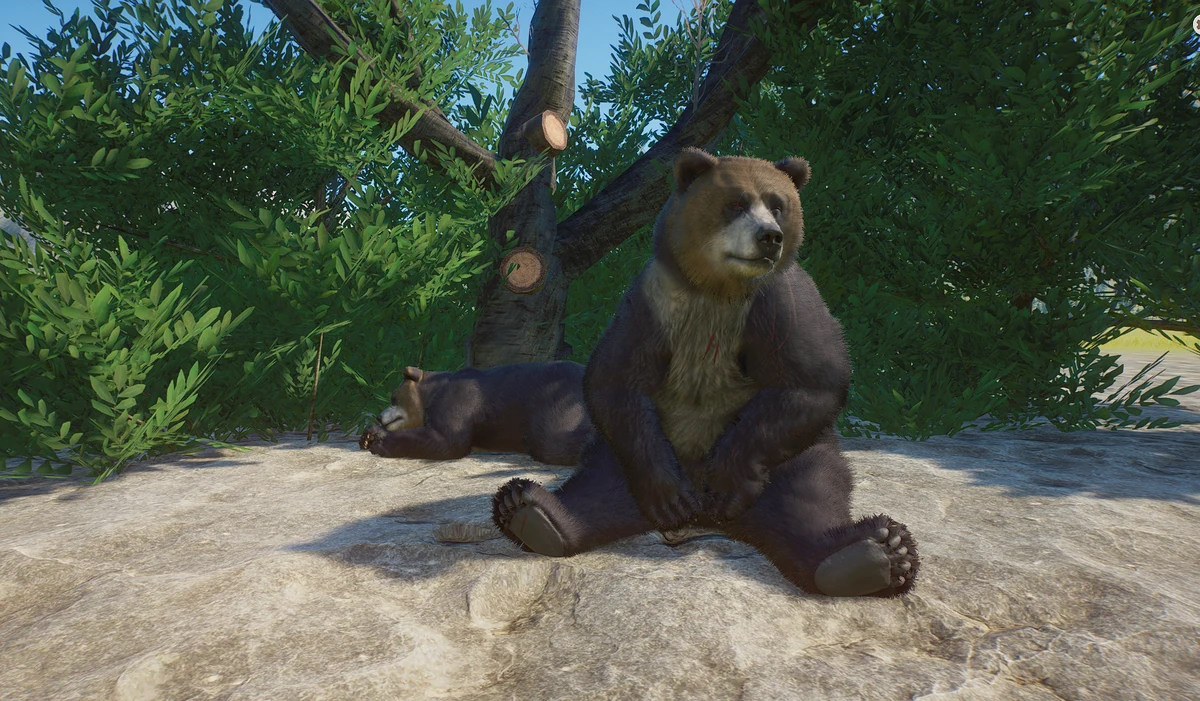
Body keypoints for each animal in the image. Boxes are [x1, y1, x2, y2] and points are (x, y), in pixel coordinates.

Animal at [359, 361, 592, 467]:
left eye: (393, 397)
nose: (379, 416)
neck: (434, 391)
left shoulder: (459, 399)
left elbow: (448, 441)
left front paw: (378, 439)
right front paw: (367, 437)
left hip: (555, 401)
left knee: (554, 441)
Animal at [489, 148, 920, 598]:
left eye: (778, 205)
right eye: (736, 203)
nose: (770, 237)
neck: (719, 288)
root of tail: (708, 520)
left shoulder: (782, 300)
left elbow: (812, 379)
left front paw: (728, 479)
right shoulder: (651, 301)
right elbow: (615, 379)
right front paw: (666, 495)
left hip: (797, 455)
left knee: (809, 496)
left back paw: (872, 553)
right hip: (624, 458)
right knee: (599, 489)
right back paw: (534, 513)